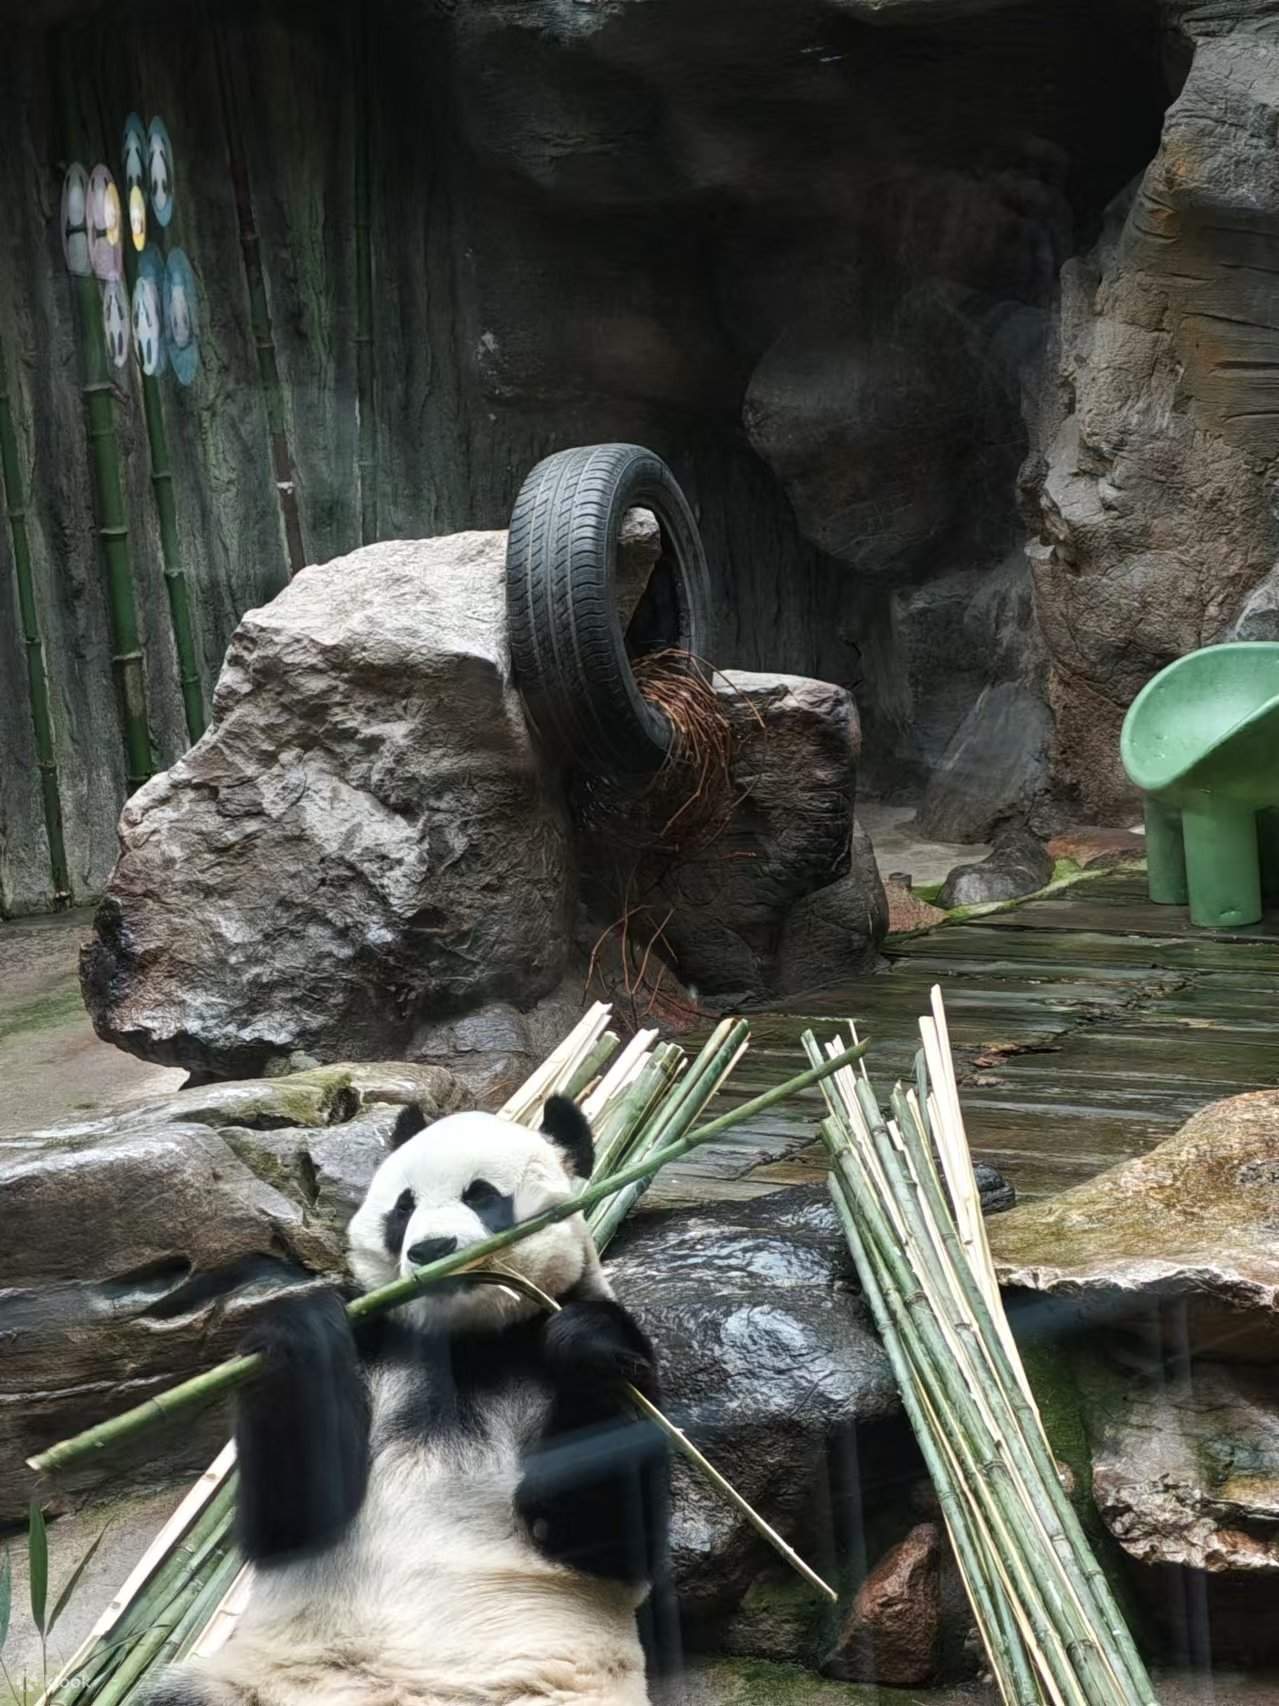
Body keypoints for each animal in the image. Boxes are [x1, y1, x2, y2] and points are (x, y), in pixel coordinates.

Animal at [144, 1097, 674, 1706]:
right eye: (403, 1207)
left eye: (482, 1196)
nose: (431, 1250)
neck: (461, 1341)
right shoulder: (374, 1342)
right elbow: (290, 1524)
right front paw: (300, 1335)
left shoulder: (573, 1344)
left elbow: (607, 1540)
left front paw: (588, 1344)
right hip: (253, 1679)